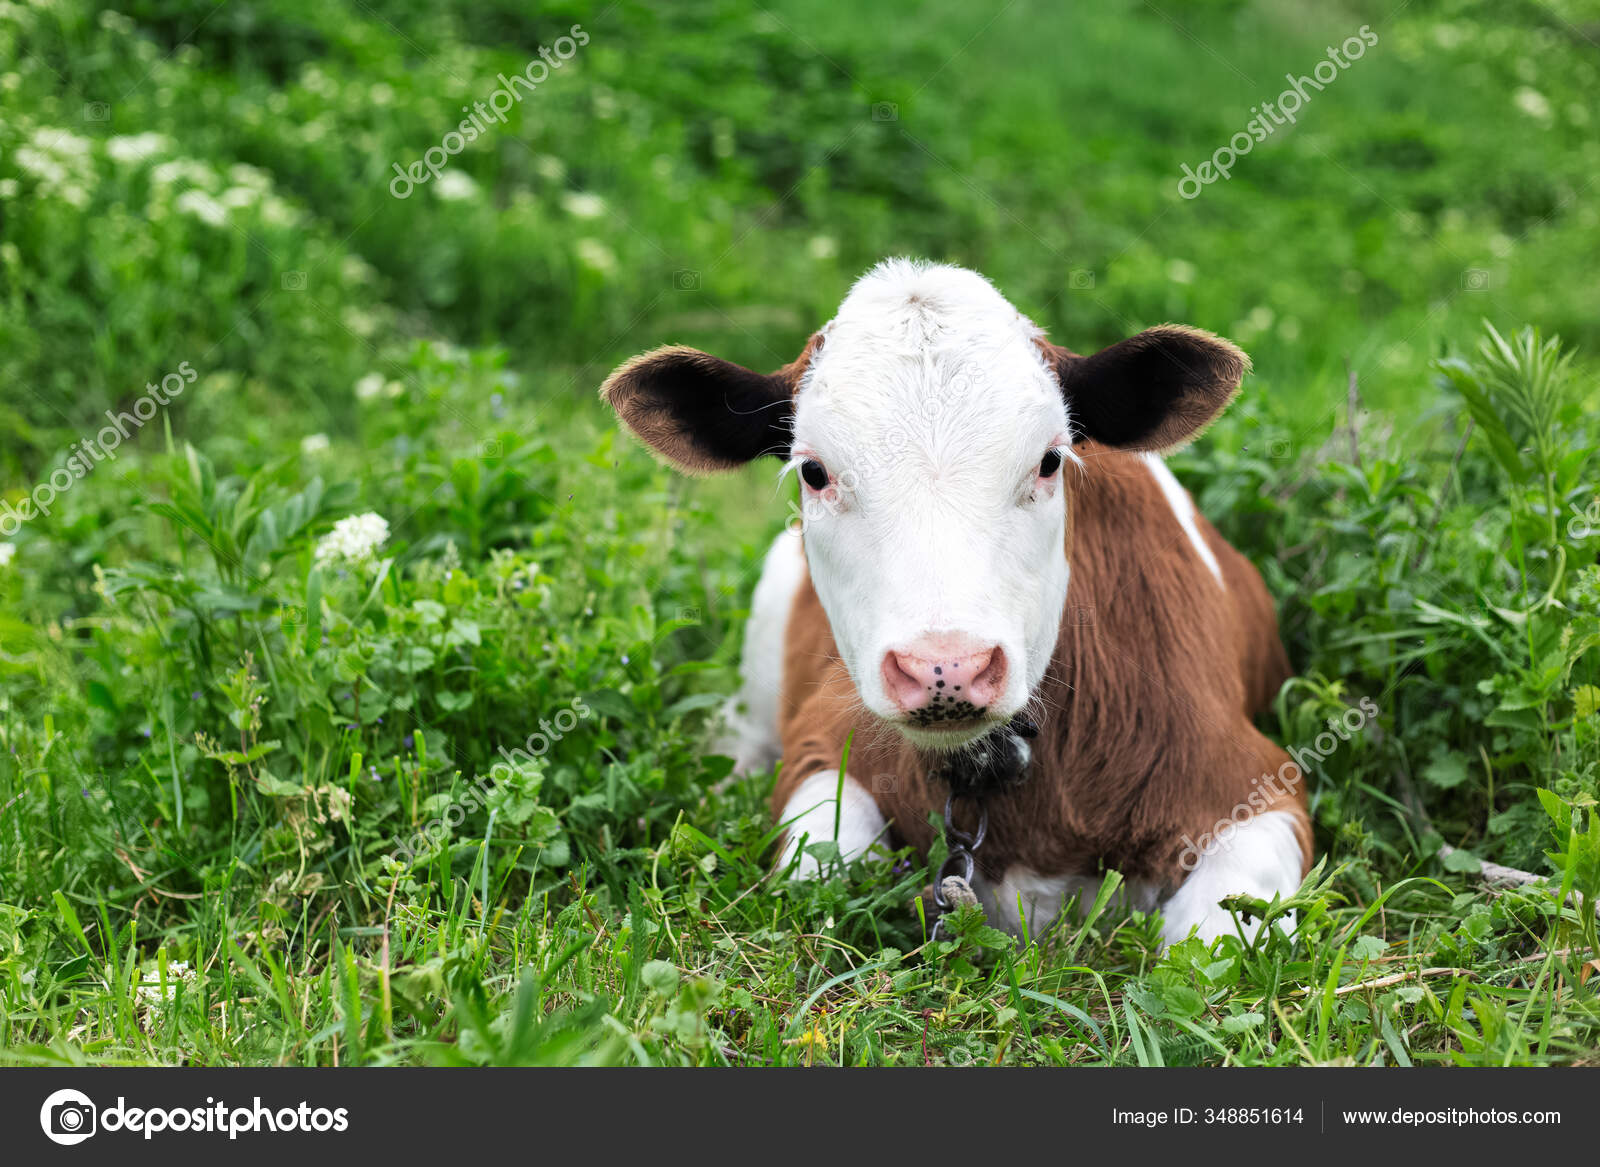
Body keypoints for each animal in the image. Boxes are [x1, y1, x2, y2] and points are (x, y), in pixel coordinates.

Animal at [602, 259, 1311, 947]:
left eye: (1050, 461)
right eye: (814, 471)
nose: (947, 669)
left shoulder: (1259, 783)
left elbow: (1218, 940)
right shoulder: (822, 743)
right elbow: (824, 864)